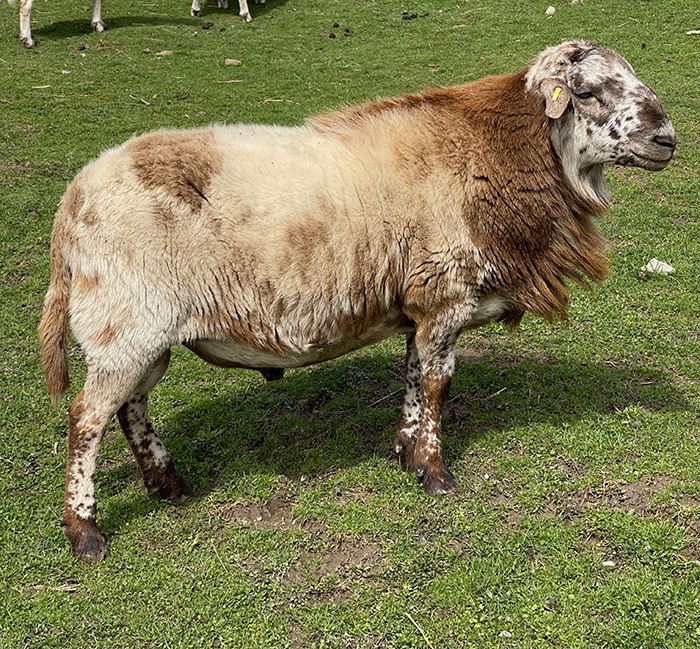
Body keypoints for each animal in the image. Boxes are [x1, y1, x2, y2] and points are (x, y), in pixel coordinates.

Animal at [39, 40, 676, 562]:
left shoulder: (420, 302)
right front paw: (437, 474)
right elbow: (438, 384)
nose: (666, 138)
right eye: (588, 91)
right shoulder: (444, 293)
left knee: (131, 408)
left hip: (141, 334)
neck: (498, 154)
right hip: (125, 323)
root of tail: (73, 201)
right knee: (86, 419)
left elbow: (415, 377)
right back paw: (85, 533)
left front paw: (407, 453)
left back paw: (168, 486)